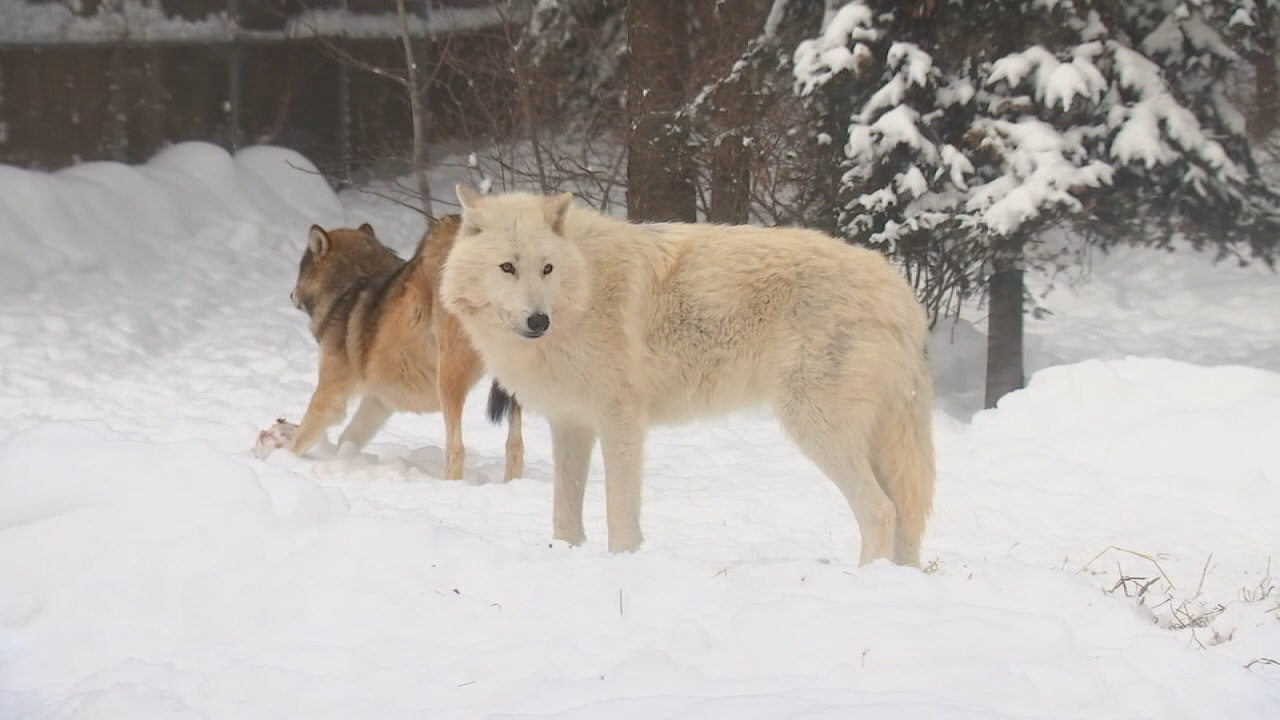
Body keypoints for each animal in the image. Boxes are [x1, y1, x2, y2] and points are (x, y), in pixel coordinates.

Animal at [284, 216, 525, 483]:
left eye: (300, 269)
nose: (290, 294)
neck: (348, 287)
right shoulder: (378, 399)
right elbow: (348, 438)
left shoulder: (330, 395)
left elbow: (298, 440)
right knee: (515, 447)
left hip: (448, 379)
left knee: (457, 449)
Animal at [440, 185, 936, 567]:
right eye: (508, 267)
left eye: (547, 268)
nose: (537, 320)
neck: (583, 293)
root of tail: (899, 291)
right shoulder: (571, 424)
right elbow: (565, 509)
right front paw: (566, 554)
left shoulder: (621, 418)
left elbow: (619, 509)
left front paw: (622, 563)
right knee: (906, 514)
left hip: (817, 427)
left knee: (881, 512)